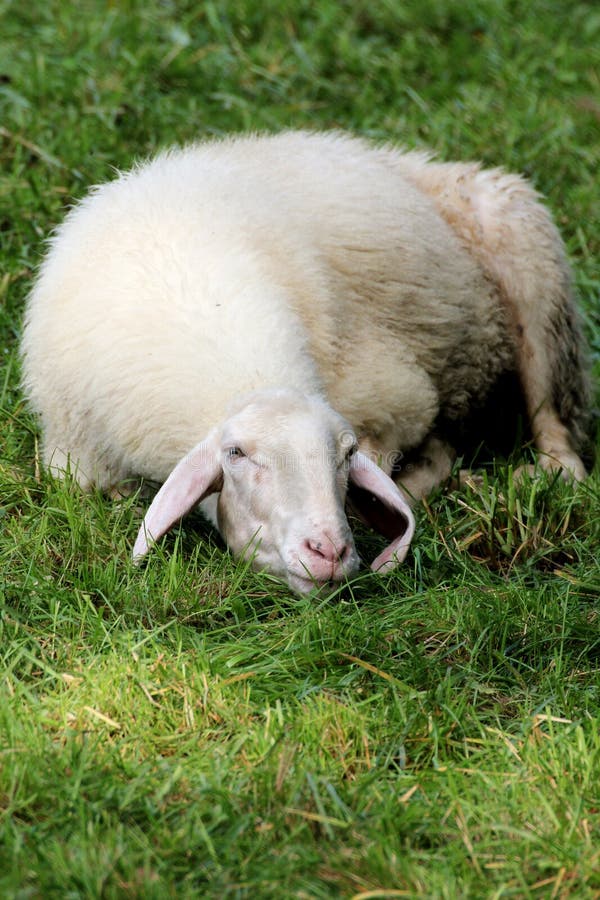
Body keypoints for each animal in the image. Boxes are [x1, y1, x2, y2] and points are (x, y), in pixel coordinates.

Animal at [21, 131, 590, 592]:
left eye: (346, 453)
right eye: (235, 454)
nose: (329, 551)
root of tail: (416, 163)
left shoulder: (396, 399)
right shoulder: (74, 464)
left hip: (526, 247)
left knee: (557, 430)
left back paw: (538, 475)